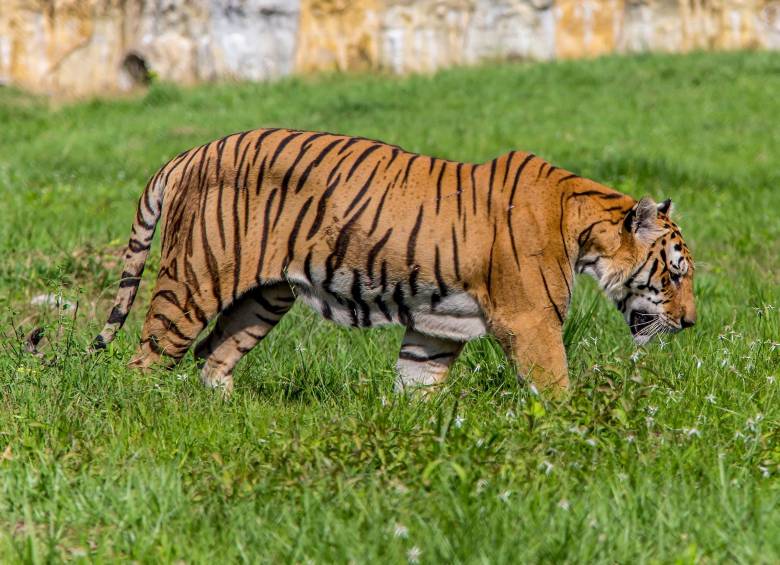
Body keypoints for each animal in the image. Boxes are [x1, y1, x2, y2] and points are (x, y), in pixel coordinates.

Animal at [81, 128, 696, 395]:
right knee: (148, 358)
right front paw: (569, 433)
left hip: (264, 296)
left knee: (213, 355)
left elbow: (418, 382)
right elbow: (556, 386)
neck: (582, 226)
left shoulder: (437, 325)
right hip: (193, 279)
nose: (691, 323)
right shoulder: (532, 321)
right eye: (674, 272)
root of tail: (189, 152)